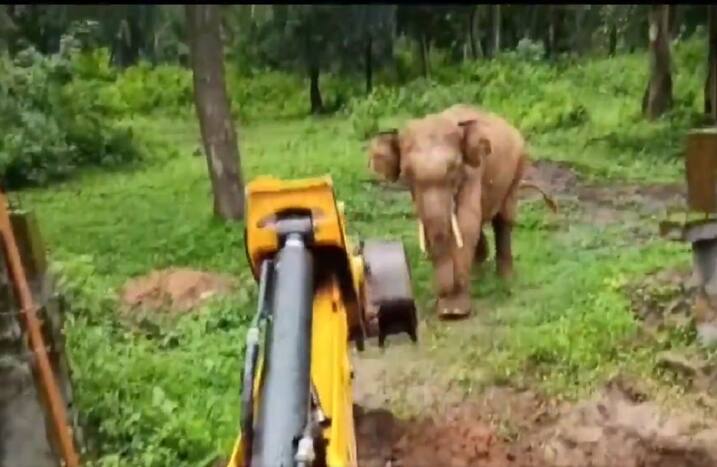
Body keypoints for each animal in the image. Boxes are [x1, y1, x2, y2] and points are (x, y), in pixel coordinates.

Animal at [367, 104, 556, 320]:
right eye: (407, 173)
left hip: (518, 166)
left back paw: (504, 279)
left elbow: (466, 223)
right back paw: (478, 273)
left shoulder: (473, 171)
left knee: (503, 219)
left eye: (453, 168)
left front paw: (454, 311)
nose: (441, 292)